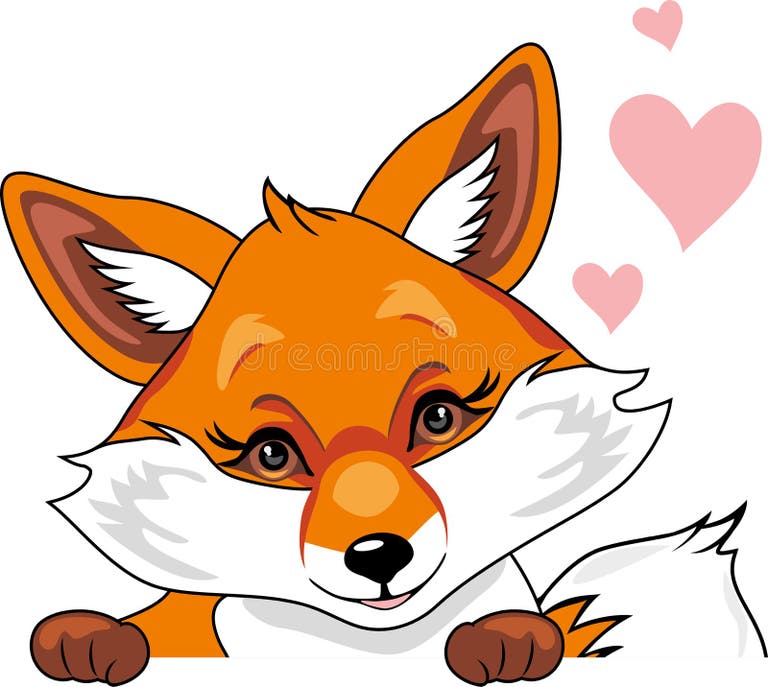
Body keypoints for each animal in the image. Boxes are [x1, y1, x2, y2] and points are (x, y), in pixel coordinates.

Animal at [3, 43, 765, 686]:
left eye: (438, 417)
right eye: (271, 454)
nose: (378, 555)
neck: (368, 654)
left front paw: (509, 641)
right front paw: (95, 640)